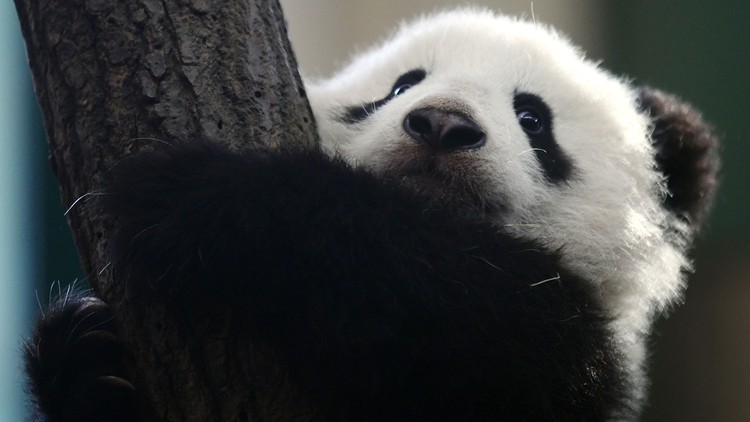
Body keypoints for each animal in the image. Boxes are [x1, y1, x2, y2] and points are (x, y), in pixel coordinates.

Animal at [24, 8, 718, 422]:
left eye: (532, 118)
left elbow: (458, 320)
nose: (442, 124)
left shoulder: (561, 367)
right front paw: (87, 358)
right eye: (400, 87)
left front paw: (204, 198)